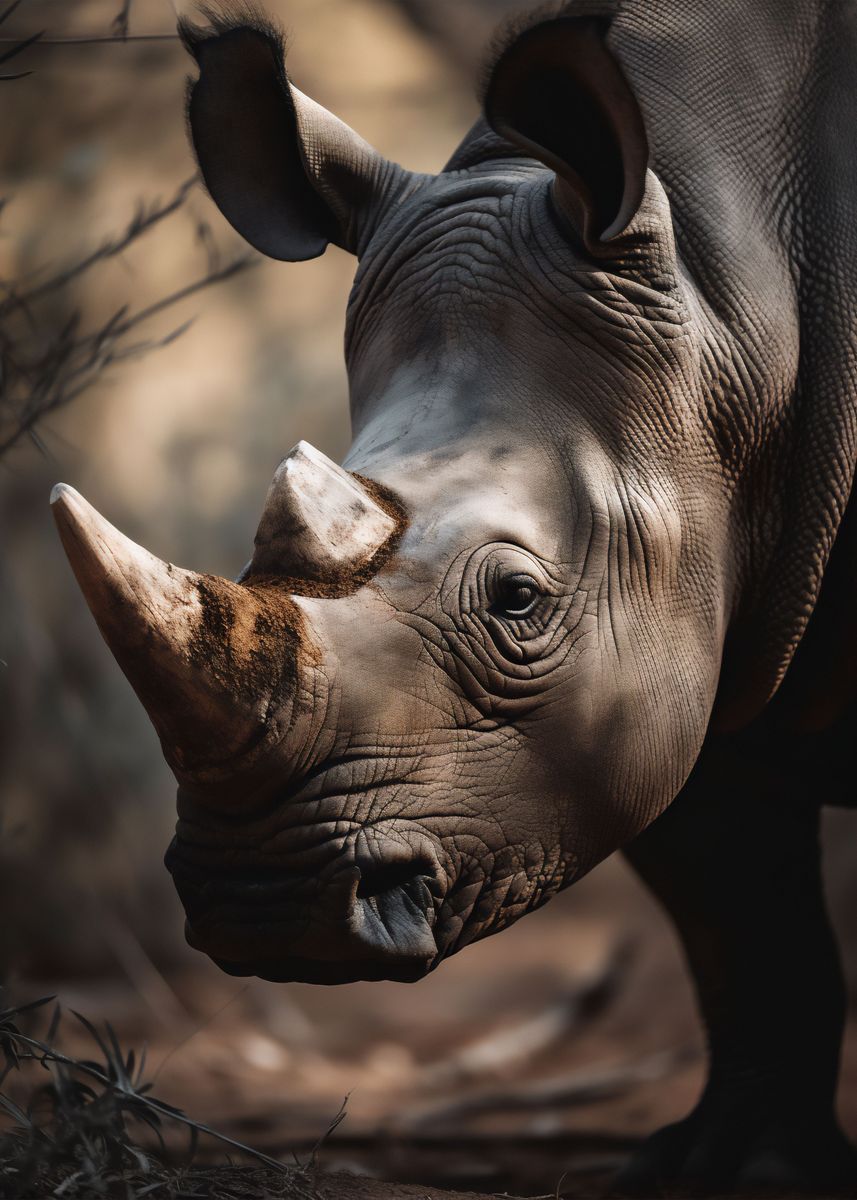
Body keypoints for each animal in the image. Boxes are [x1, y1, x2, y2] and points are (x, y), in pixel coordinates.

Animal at [51, 0, 857, 1194]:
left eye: (518, 600)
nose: (265, 903)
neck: (737, 309)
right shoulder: (681, 659)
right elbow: (743, 923)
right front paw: (731, 1163)